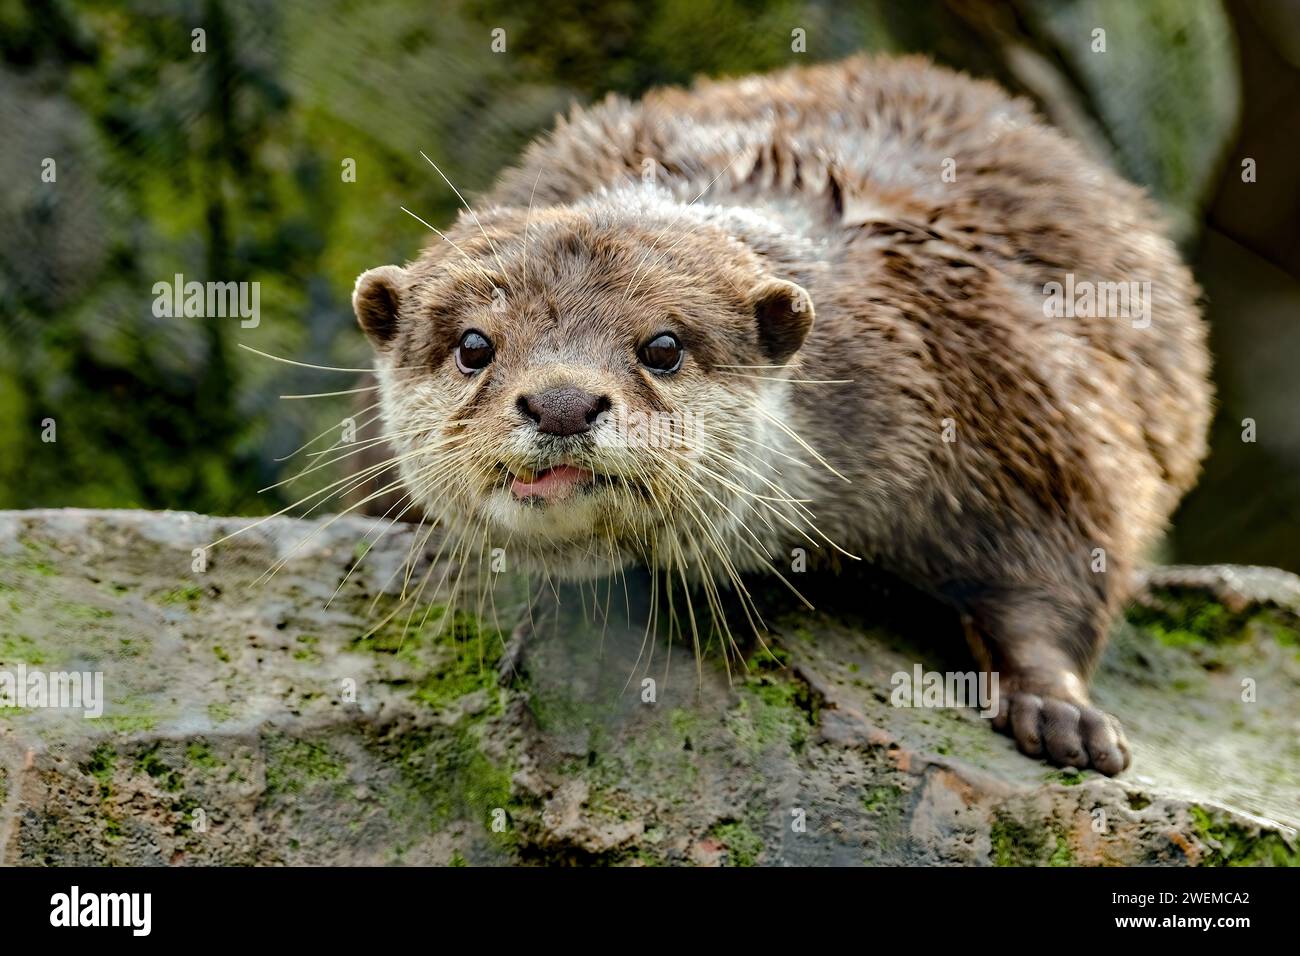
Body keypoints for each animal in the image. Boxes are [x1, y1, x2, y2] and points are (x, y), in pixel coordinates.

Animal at [350, 55, 1212, 776]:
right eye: (474, 345)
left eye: (663, 346)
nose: (563, 403)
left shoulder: (1010, 401)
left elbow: (1064, 563)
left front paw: (1059, 708)